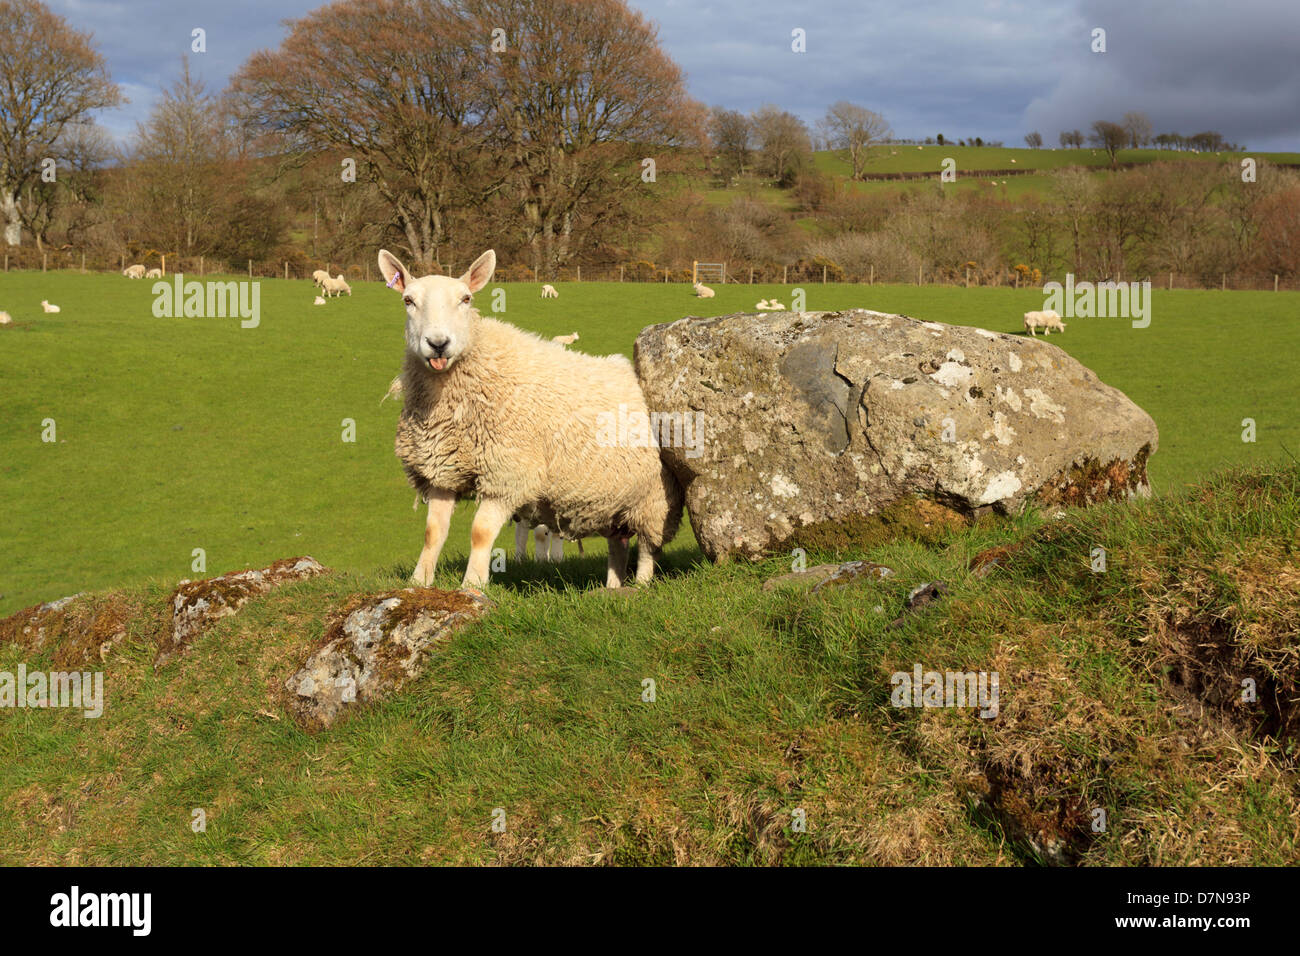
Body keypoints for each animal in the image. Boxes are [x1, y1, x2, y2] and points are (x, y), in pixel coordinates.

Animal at [379, 247, 682, 589]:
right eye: (408, 300)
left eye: (466, 299)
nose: (438, 343)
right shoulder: (441, 473)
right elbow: (433, 534)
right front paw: (418, 583)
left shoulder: (507, 474)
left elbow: (480, 533)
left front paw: (472, 585)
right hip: (616, 500)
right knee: (618, 545)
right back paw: (613, 587)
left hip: (656, 499)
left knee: (647, 548)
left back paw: (641, 585)